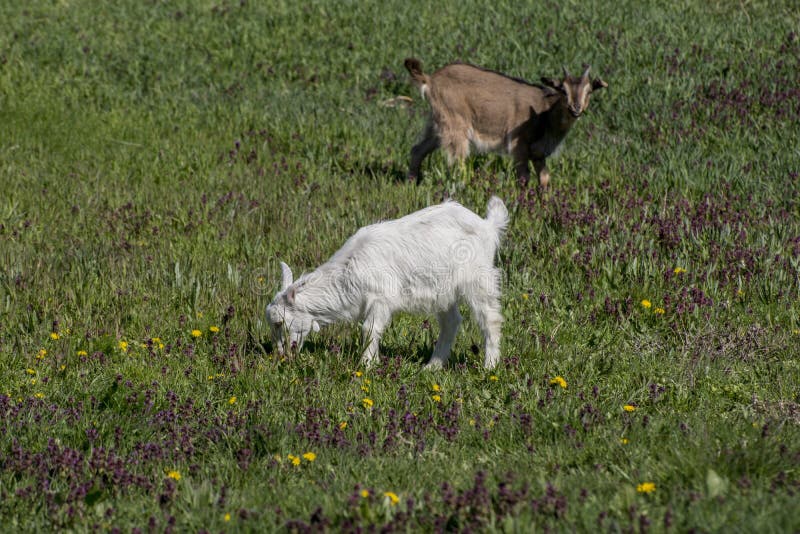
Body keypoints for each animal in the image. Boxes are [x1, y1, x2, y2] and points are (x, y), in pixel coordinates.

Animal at [266, 197, 509, 369]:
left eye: (279, 323)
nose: (282, 356)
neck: (348, 272)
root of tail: (488, 226)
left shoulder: (380, 297)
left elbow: (369, 329)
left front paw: (367, 364)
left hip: (478, 278)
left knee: (490, 319)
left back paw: (489, 366)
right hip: (441, 290)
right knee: (451, 322)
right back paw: (432, 367)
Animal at [404, 58, 607, 187]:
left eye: (589, 91)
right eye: (563, 90)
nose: (575, 108)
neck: (545, 112)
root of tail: (429, 80)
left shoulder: (538, 153)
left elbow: (544, 179)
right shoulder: (519, 146)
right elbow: (523, 178)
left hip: (437, 124)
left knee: (418, 150)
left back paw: (411, 184)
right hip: (455, 124)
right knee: (458, 163)